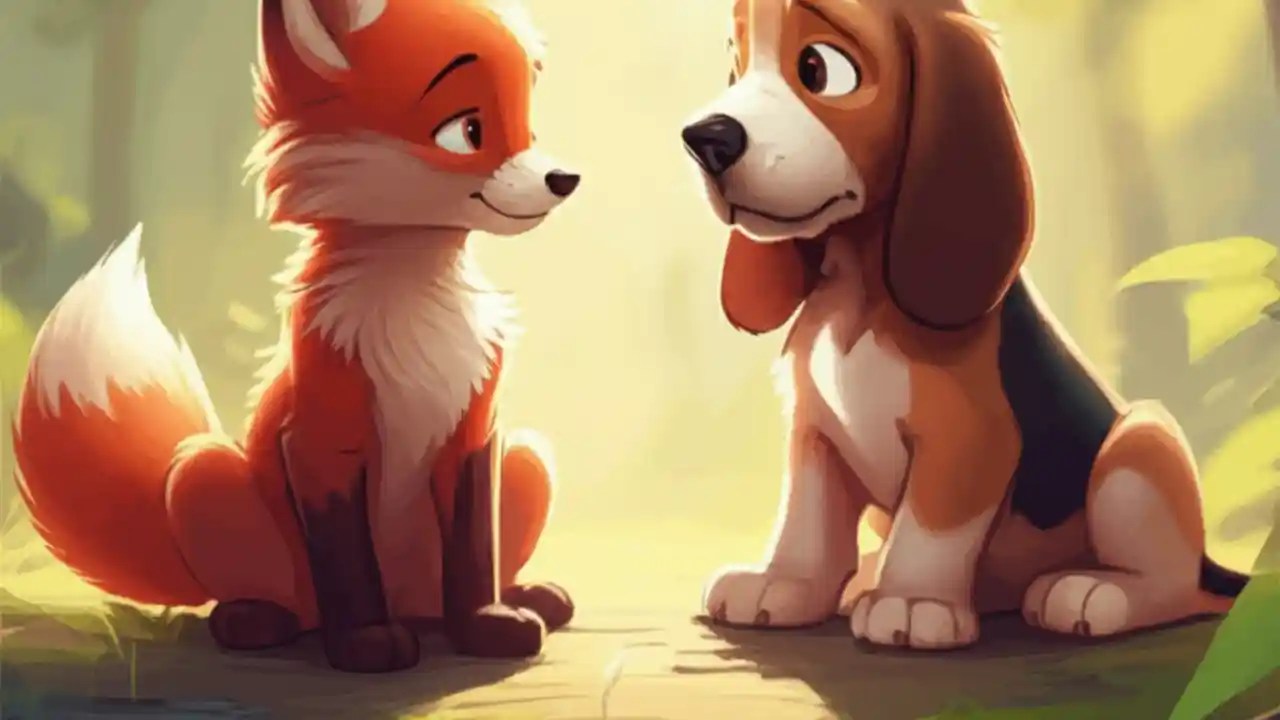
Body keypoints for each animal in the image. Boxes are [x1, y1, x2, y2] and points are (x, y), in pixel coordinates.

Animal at [12, 0, 580, 673]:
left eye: (529, 128)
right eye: (467, 131)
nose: (566, 178)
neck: (416, 304)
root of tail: (414, 600)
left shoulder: (475, 430)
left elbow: (473, 551)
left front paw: (487, 625)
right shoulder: (321, 439)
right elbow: (346, 555)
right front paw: (366, 642)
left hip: (526, 459)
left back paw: (525, 596)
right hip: (203, 476)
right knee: (275, 600)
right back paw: (257, 619)